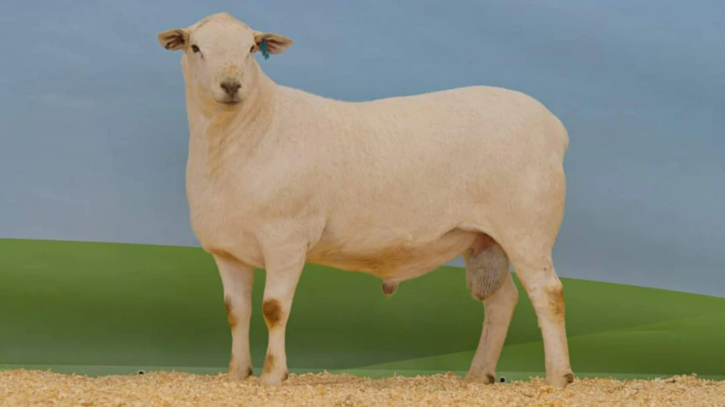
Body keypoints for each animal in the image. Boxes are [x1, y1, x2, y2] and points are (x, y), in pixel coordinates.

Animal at [157, 12, 573, 388]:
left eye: (250, 49)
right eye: (195, 48)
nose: (231, 85)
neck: (245, 134)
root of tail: (555, 127)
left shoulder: (285, 239)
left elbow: (273, 309)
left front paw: (273, 376)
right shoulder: (227, 250)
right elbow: (236, 312)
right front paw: (236, 374)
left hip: (527, 227)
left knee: (548, 294)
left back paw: (558, 378)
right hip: (482, 238)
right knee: (502, 301)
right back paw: (478, 375)